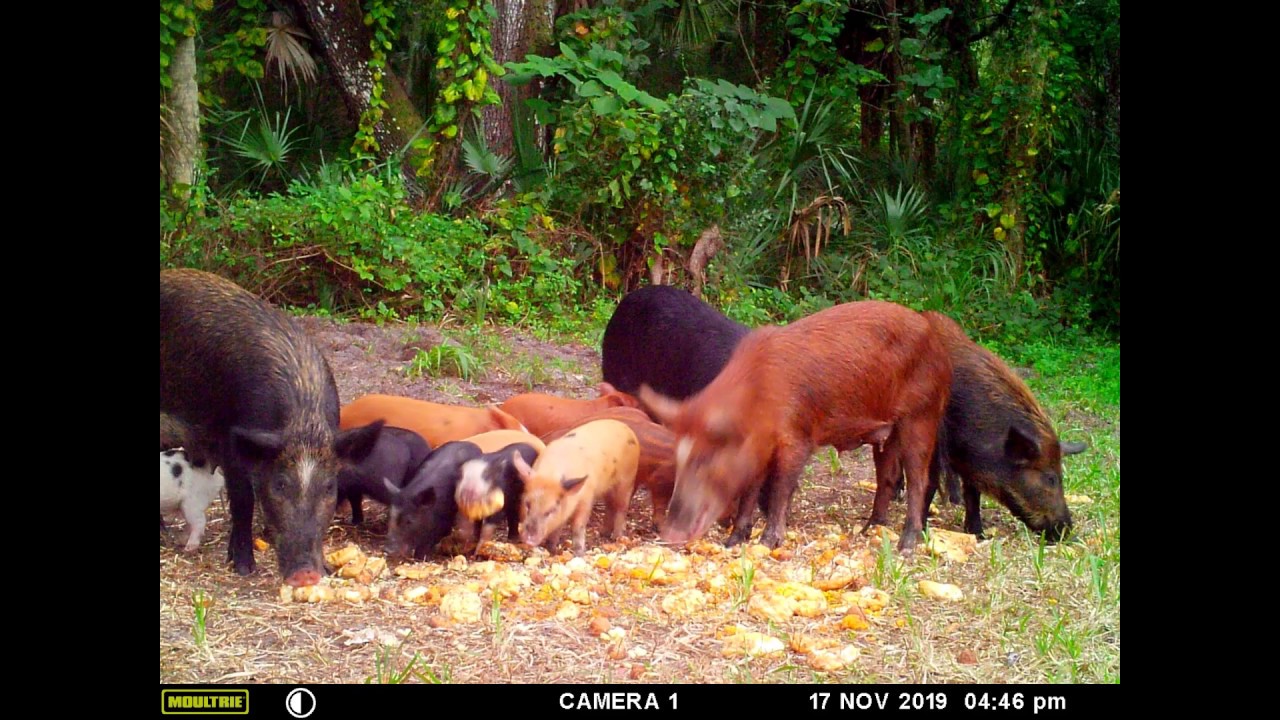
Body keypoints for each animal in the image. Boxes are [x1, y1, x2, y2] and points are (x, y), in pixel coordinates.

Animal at [160, 269, 383, 585]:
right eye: (280, 484)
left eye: (329, 486)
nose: (306, 574)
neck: (303, 420)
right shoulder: (230, 445)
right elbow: (243, 501)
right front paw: (243, 567)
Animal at [514, 419, 640, 556]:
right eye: (527, 504)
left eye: (551, 510)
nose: (529, 540)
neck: (551, 474)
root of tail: (626, 428)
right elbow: (558, 527)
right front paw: (551, 550)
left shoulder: (587, 497)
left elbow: (578, 526)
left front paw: (579, 553)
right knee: (610, 506)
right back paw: (604, 533)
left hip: (627, 481)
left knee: (621, 508)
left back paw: (617, 538)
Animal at [642, 300, 952, 552]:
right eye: (680, 458)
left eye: (706, 459)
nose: (670, 534)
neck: (758, 399)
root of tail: (934, 336)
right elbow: (750, 490)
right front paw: (734, 541)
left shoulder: (798, 437)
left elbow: (781, 487)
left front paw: (768, 542)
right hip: (889, 431)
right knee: (887, 475)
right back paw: (870, 528)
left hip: (921, 415)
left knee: (918, 478)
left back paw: (906, 545)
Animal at [920, 312, 1089, 541]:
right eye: (1051, 478)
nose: (1067, 531)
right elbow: (929, 484)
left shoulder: (969, 463)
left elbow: (973, 495)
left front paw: (978, 534)